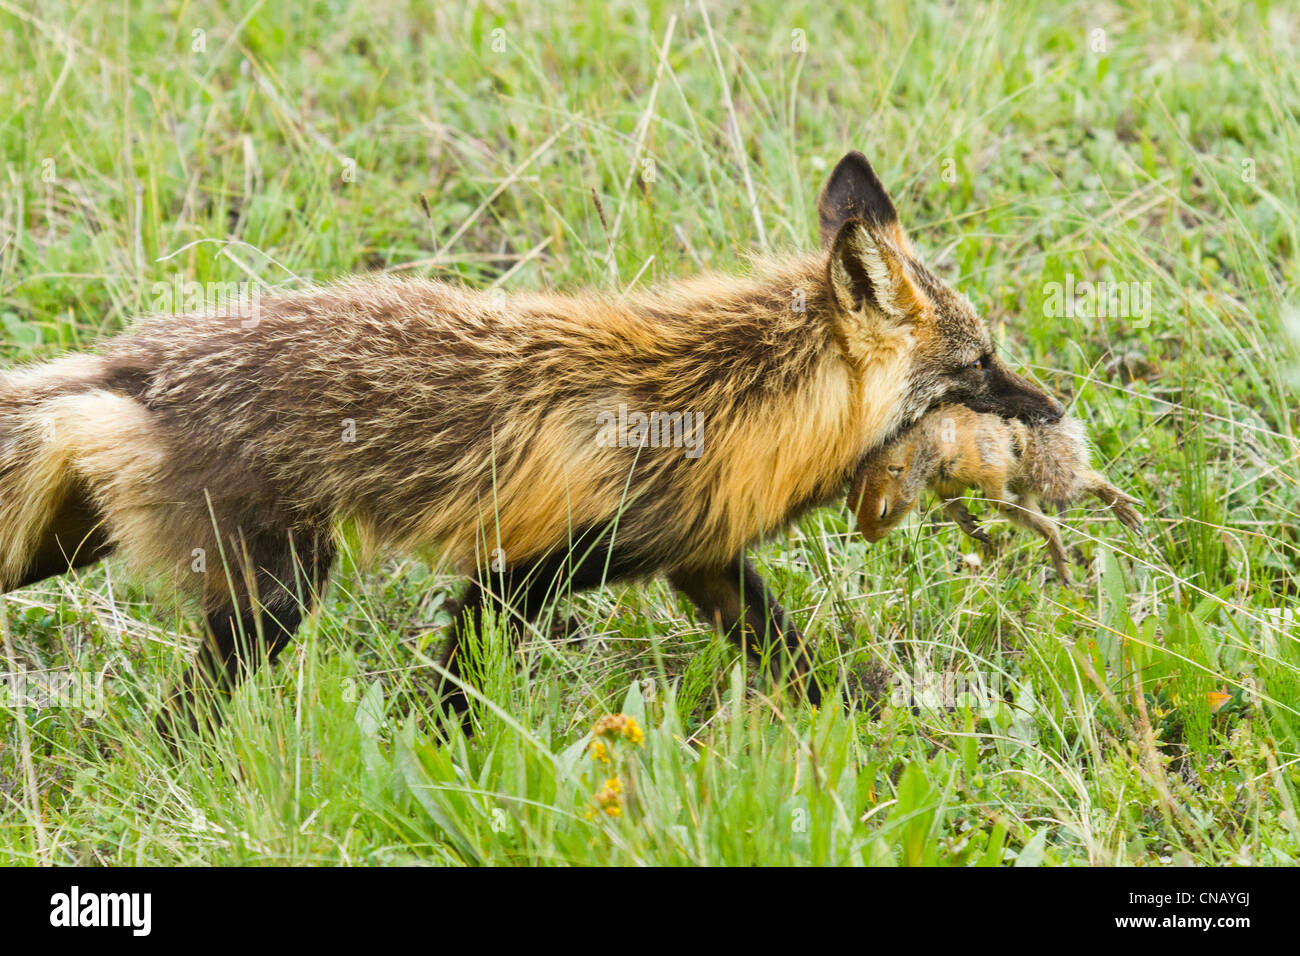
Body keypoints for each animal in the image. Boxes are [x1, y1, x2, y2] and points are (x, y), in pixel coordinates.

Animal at [0, 151, 1064, 736]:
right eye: (984, 362)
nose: (1053, 410)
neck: (728, 398)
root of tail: (134, 361)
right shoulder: (521, 573)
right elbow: (454, 701)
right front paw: (440, 778)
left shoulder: (701, 559)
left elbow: (795, 661)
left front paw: (865, 728)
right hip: (276, 598)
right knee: (176, 722)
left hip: (83, 548)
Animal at [848, 404, 1142, 578]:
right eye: (851, 506)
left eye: (882, 509)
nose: (870, 539)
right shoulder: (944, 483)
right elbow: (951, 502)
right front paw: (968, 524)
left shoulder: (983, 458)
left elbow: (991, 487)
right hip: (1027, 490)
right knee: (1046, 524)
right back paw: (1059, 560)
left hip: (1046, 473)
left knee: (1088, 479)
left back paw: (1124, 508)